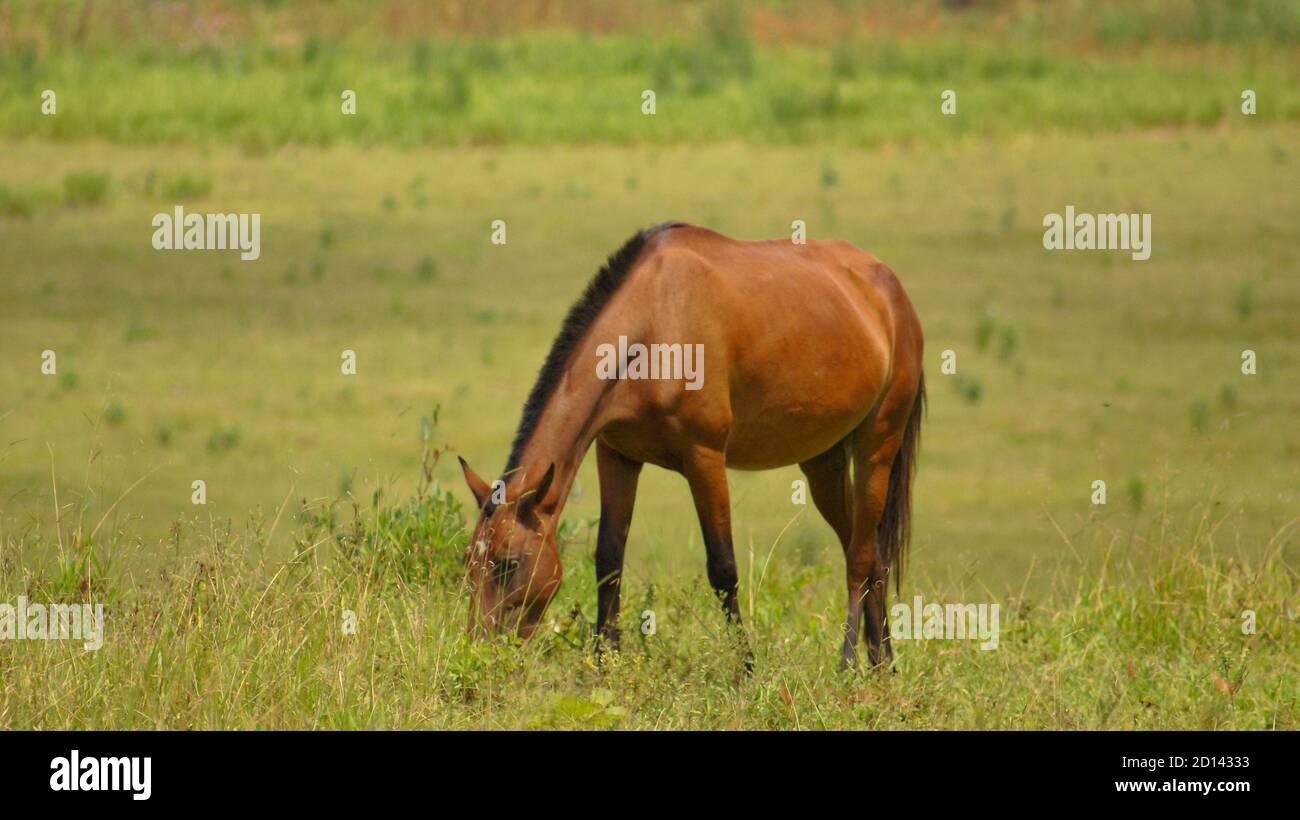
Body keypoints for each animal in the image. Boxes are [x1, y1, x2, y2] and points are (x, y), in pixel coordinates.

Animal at [458, 222, 925, 670]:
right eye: (469, 561)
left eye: (509, 563)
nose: (481, 649)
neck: (653, 324)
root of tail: (893, 294)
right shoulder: (617, 456)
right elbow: (608, 561)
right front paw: (604, 664)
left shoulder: (705, 458)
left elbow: (723, 569)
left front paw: (746, 670)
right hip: (822, 463)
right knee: (867, 553)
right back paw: (883, 664)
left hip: (877, 446)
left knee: (860, 557)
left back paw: (848, 663)